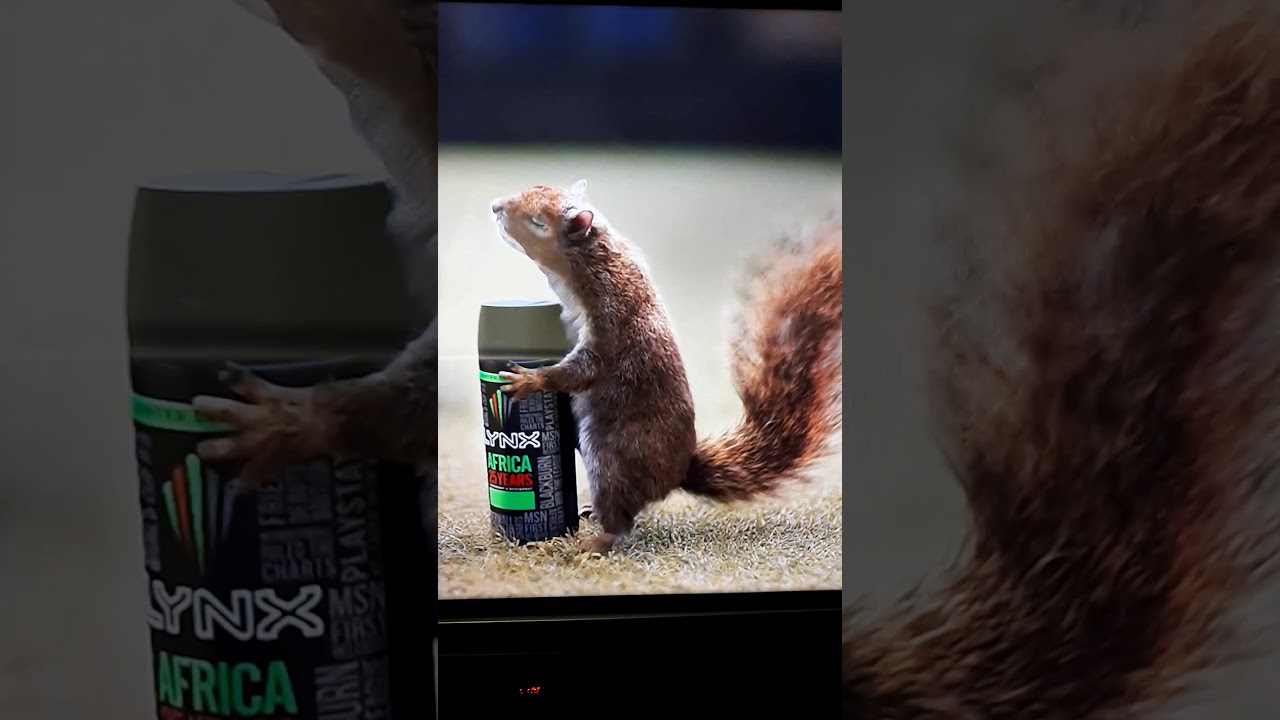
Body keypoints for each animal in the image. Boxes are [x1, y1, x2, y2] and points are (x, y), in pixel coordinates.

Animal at [489, 180, 842, 553]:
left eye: (538, 222)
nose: (496, 206)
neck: (596, 260)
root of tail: (676, 472)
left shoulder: (610, 324)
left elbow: (585, 370)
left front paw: (530, 380)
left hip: (609, 459)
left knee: (621, 516)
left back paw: (596, 542)